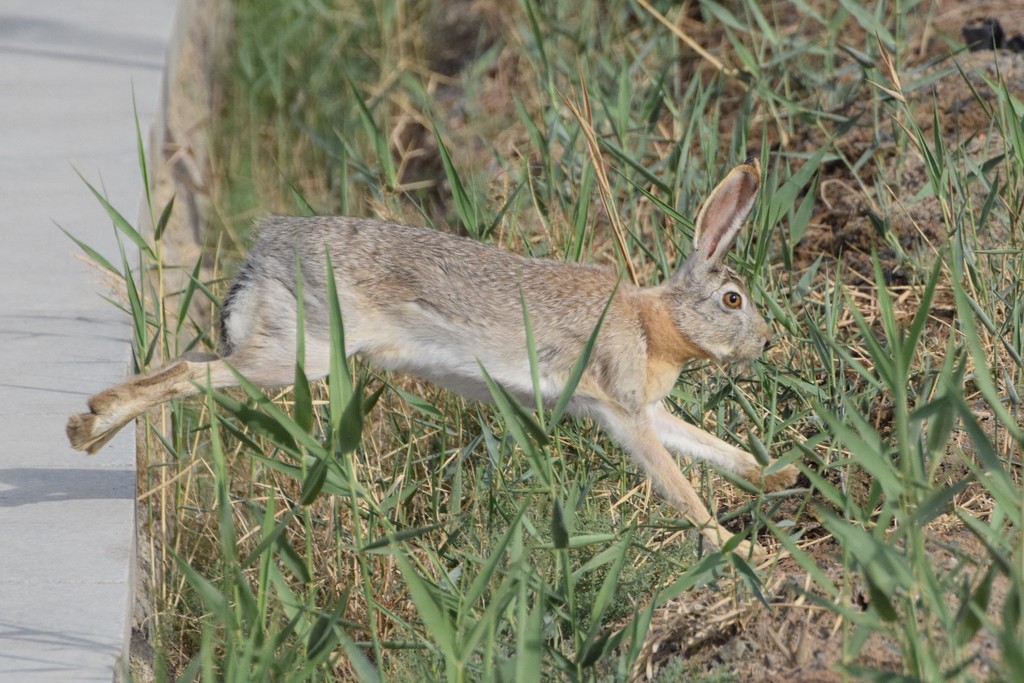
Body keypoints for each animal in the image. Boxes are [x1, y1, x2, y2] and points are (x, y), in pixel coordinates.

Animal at [67, 157, 798, 559]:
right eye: (732, 299)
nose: (766, 343)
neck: (656, 322)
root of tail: (266, 251)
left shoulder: (645, 409)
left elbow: (712, 447)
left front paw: (779, 475)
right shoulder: (625, 412)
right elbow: (678, 483)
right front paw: (735, 548)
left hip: (271, 344)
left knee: (189, 361)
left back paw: (93, 429)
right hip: (295, 355)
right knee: (188, 374)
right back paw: (90, 425)